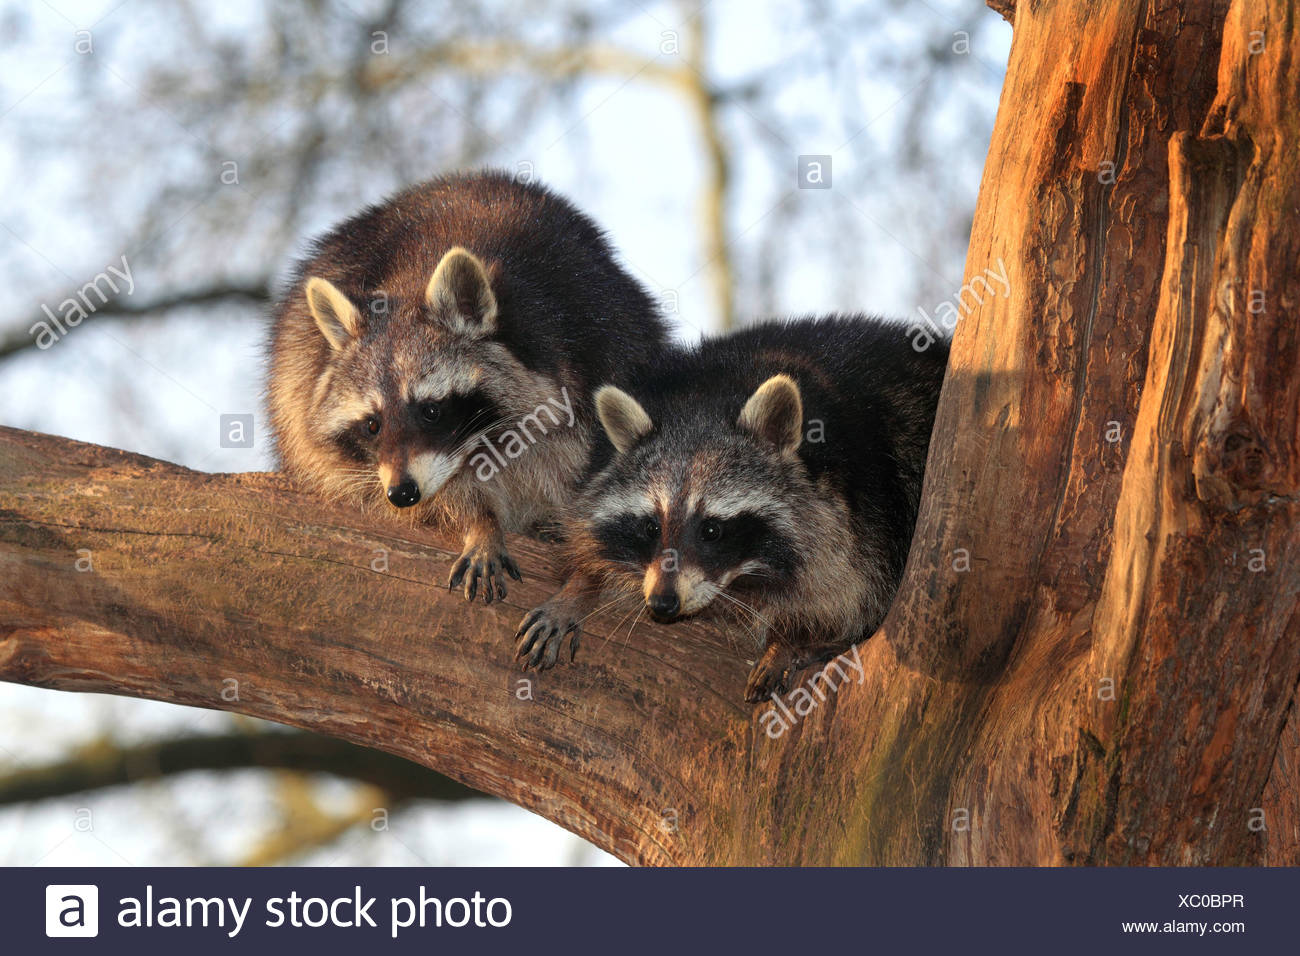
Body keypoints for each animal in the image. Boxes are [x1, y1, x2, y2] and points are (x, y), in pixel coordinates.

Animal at [267, 170, 671, 602]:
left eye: (430, 410)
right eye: (372, 424)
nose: (402, 493)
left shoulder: (591, 343)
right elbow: (448, 493)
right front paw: (480, 523)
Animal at [515, 316, 948, 700]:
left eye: (711, 530)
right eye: (652, 527)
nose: (662, 603)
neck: (713, 393)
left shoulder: (870, 507)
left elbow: (850, 588)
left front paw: (797, 639)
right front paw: (579, 584)